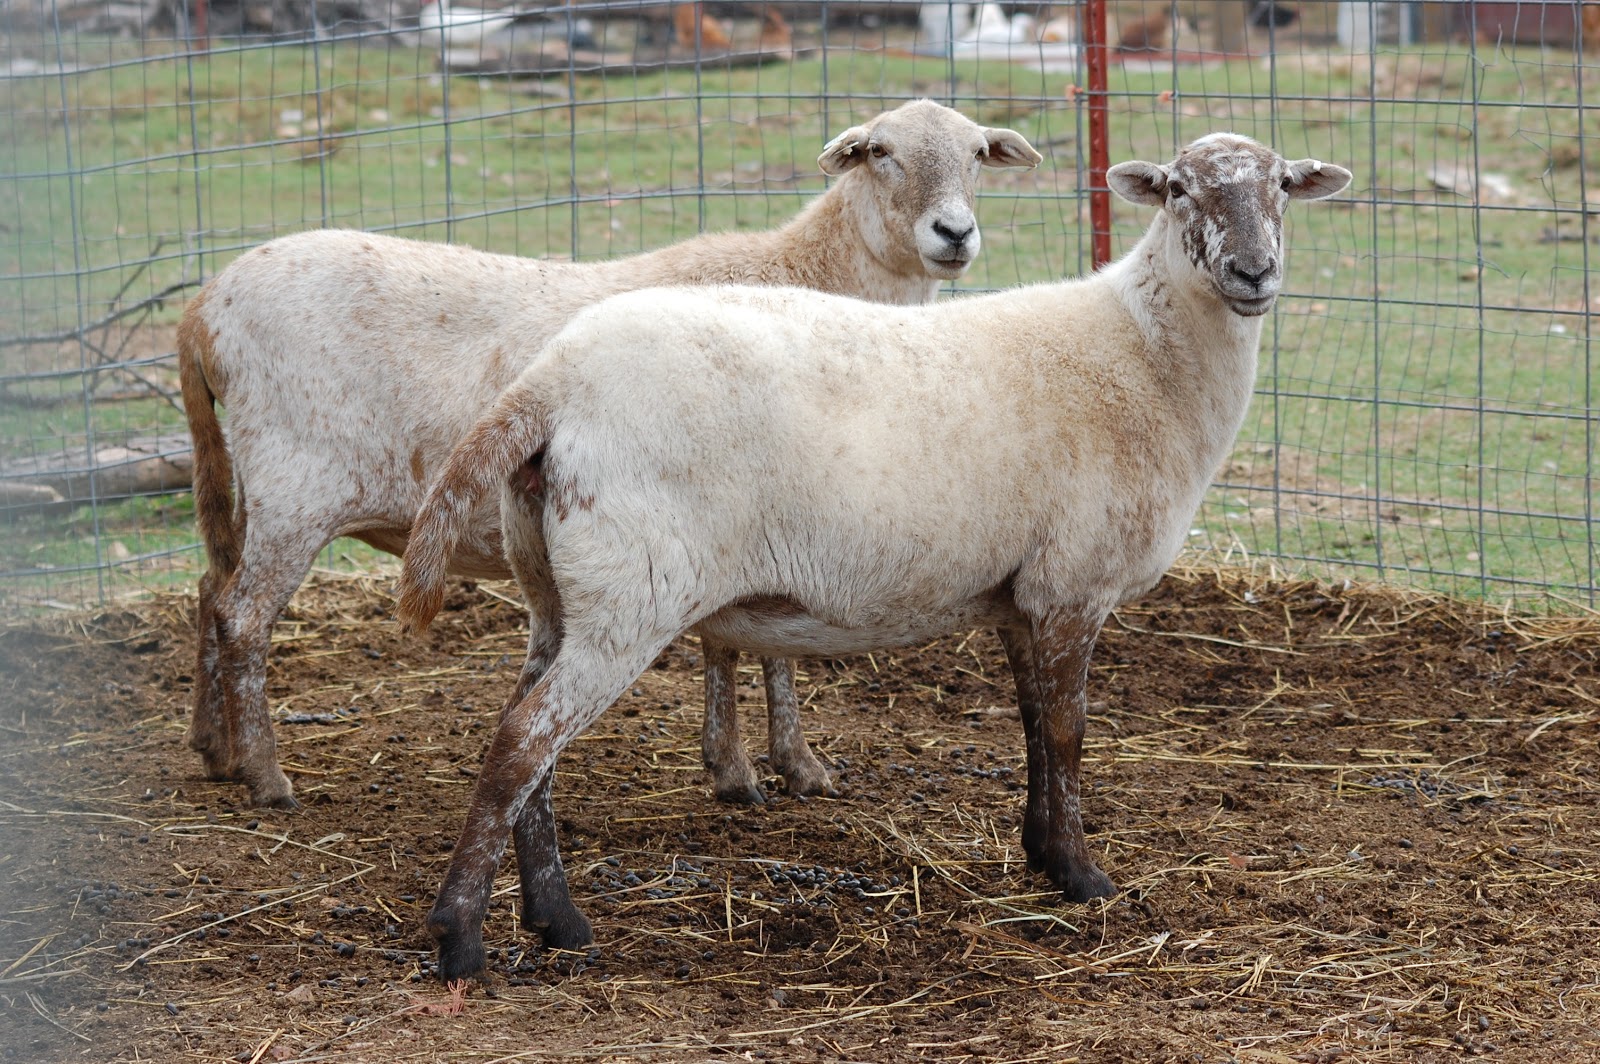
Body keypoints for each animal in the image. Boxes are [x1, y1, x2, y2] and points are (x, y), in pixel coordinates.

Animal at [177, 99, 1042, 812]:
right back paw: (267, 778)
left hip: (253, 481)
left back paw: (214, 752)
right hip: (298, 486)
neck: (815, 274)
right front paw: (752, 767)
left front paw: (771, 763)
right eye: (880, 152)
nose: (954, 234)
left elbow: (754, 643)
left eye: (975, 154)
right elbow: (748, 645)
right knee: (244, 617)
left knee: (209, 592)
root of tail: (204, 308)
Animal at [392, 133, 1352, 979]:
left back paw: (556, 921)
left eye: (1281, 186)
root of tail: (550, 382)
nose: (1254, 274)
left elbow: (1034, 729)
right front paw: (1084, 877)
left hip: (555, 590)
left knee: (530, 746)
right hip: (632, 595)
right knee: (522, 743)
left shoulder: (1022, 596)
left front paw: (1043, 854)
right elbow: (1070, 733)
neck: (1144, 357)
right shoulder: (1073, 585)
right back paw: (462, 940)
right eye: (1181, 191)